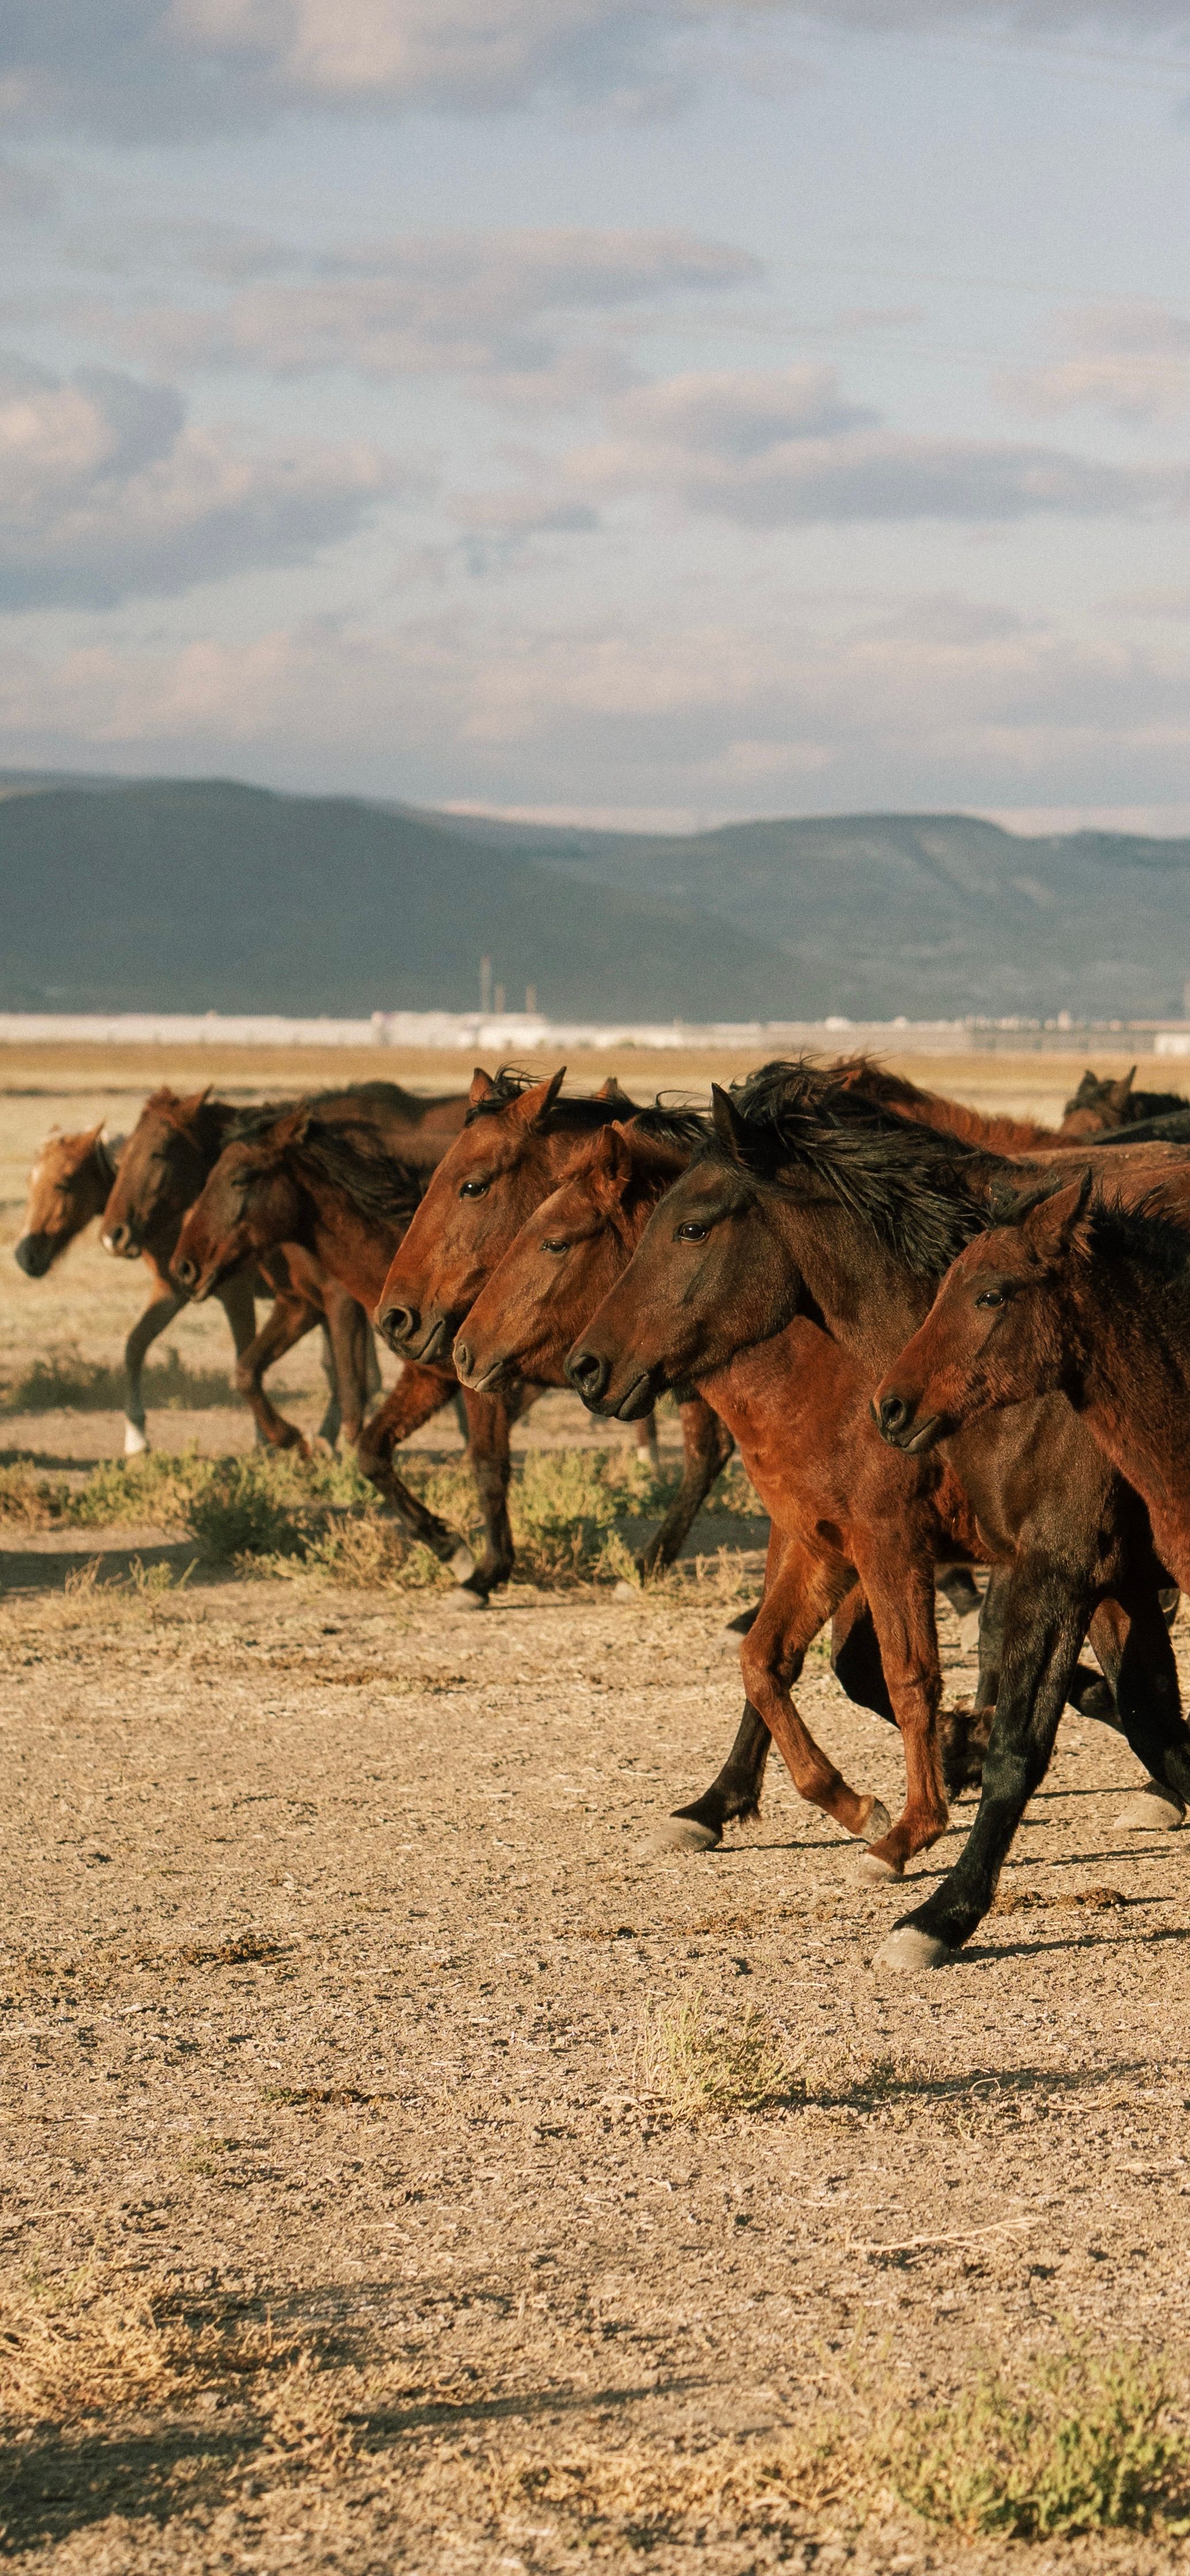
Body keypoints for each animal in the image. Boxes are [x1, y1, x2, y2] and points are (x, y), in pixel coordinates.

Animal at [170, 1104, 519, 1603]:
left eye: (241, 1178)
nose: (184, 1267)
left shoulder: (481, 1385)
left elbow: (488, 1468)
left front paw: (486, 1574)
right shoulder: (429, 1377)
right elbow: (370, 1451)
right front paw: (452, 1550)